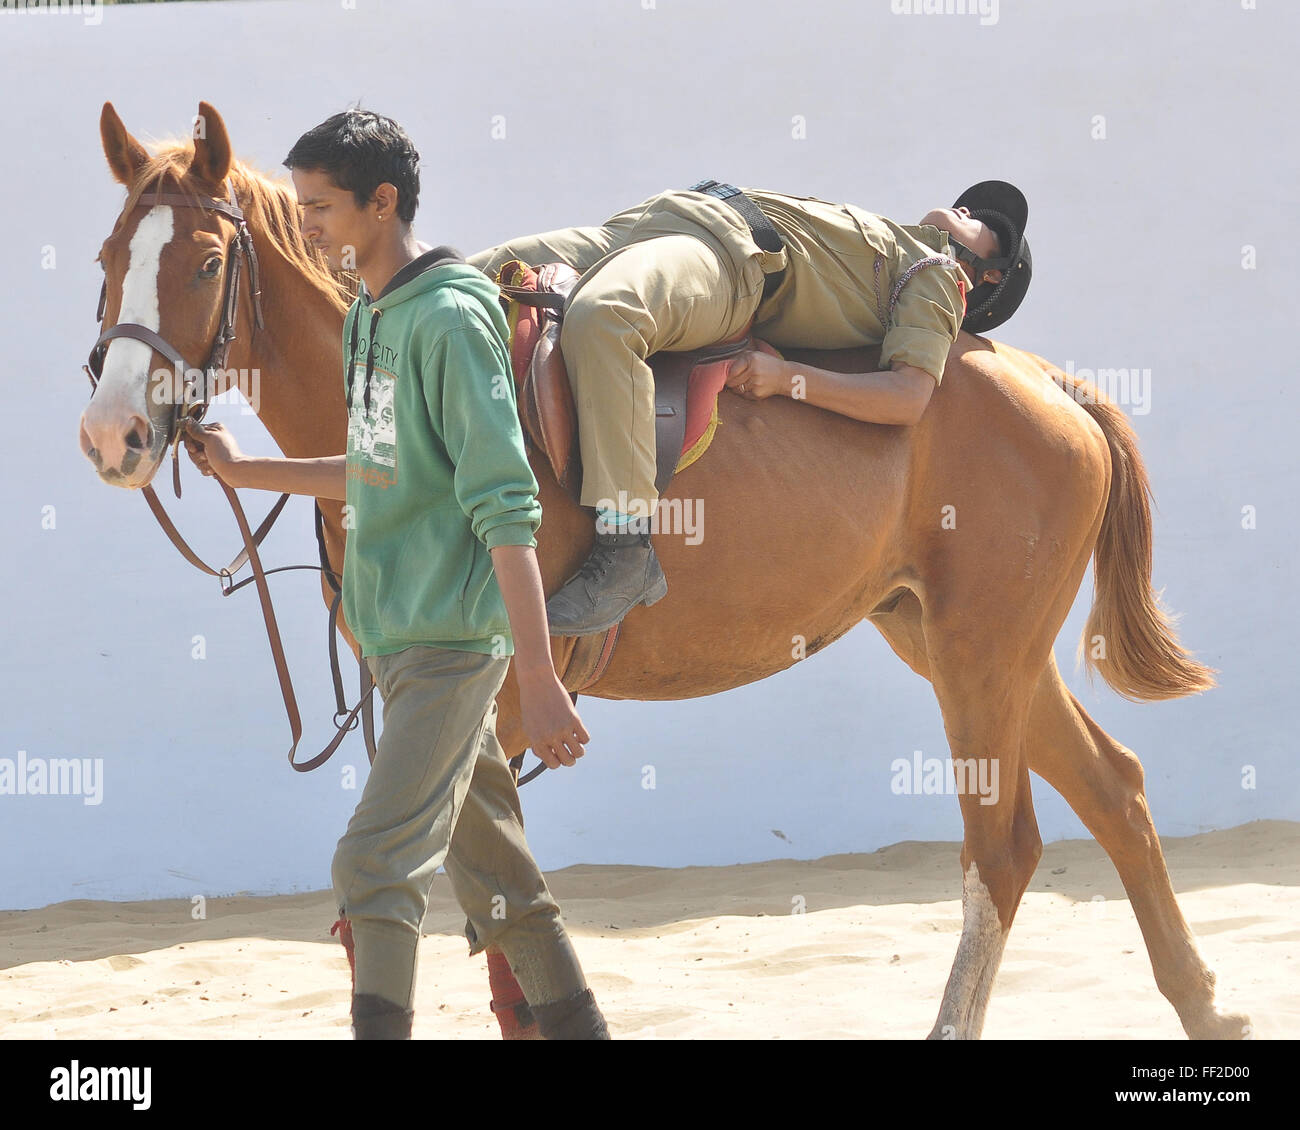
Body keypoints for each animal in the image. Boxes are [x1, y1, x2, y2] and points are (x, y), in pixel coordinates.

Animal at [79, 100, 1248, 1040]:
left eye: (204, 263)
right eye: (105, 260)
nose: (112, 434)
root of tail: (1051, 382)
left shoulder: (501, 695)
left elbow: (490, 904)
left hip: (978, 652)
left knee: (1001, 849)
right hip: (955, 639)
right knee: (1116, 788)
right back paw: (1203, 1002)